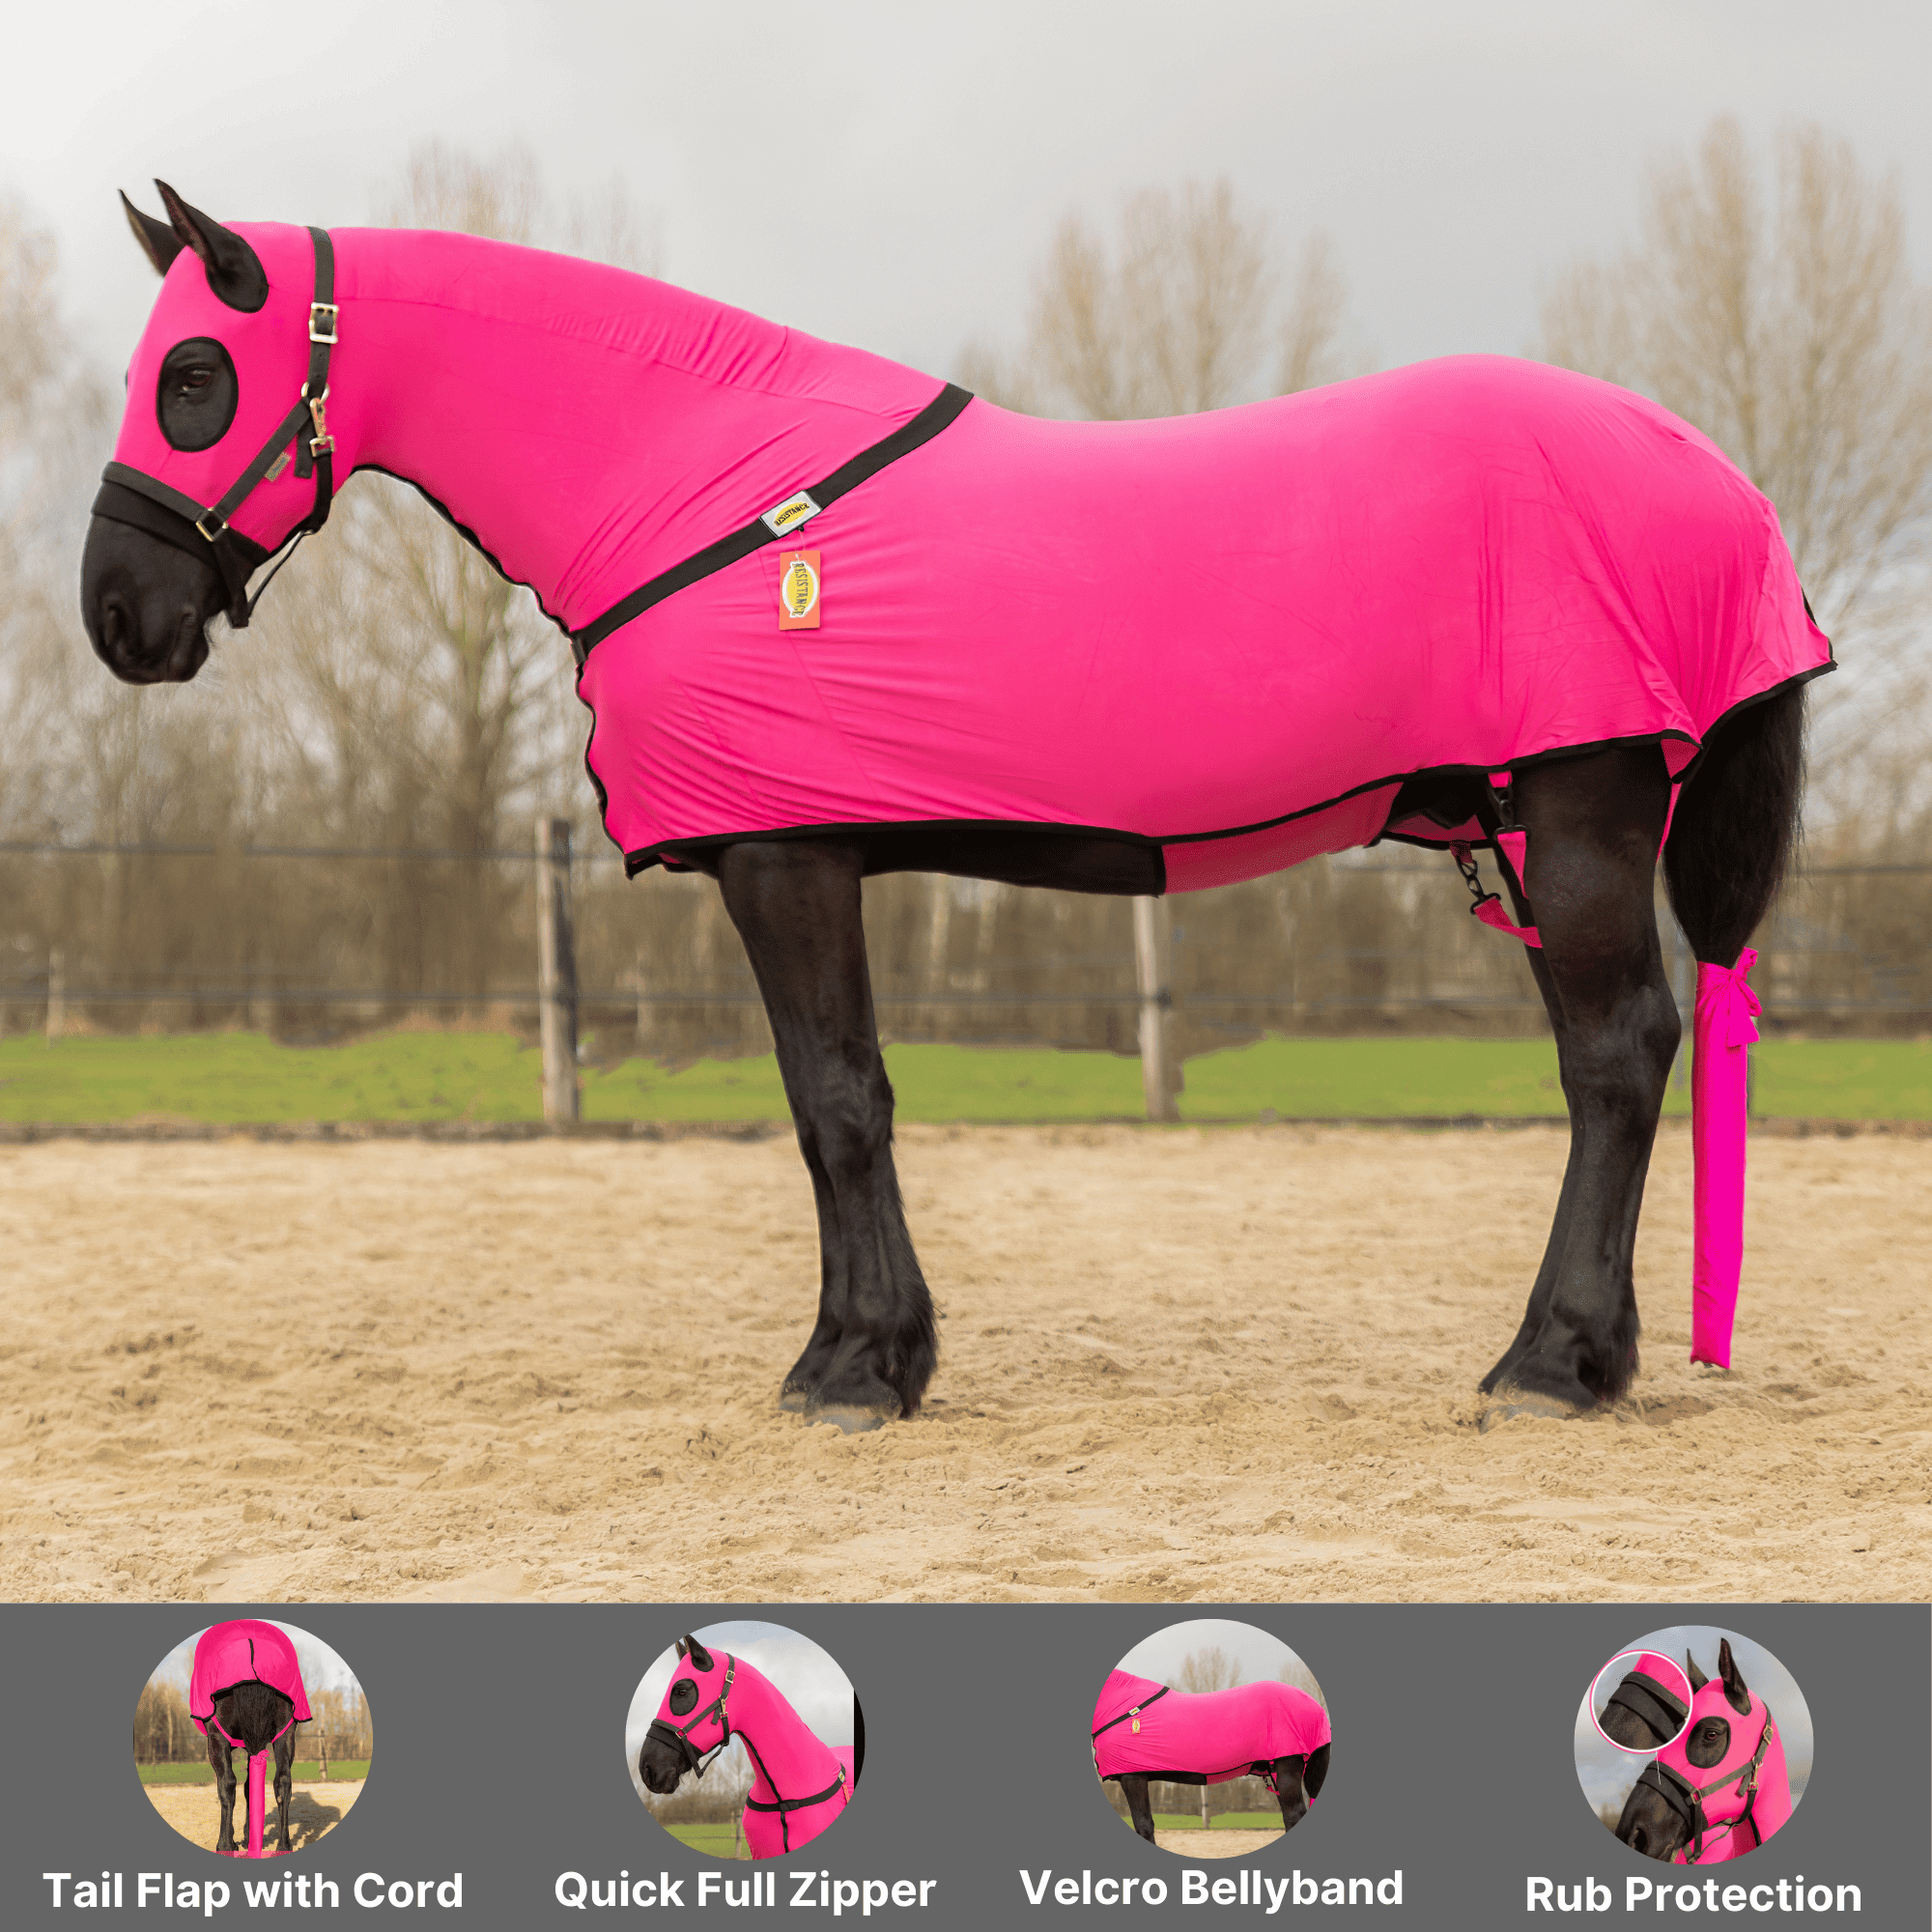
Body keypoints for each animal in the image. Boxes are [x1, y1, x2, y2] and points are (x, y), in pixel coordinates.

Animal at [81, 187, 1832, 1432]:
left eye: (194, 375)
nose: (118, 616)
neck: (709, 480)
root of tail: (1709, 471)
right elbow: (842, 1102)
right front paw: (877, 1355)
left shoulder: (783, 855)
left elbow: (836, 1102)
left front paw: (853, 1369)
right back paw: (1584, 1357)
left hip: (1582, 811)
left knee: (1616, 1057)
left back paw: (1549, 1364)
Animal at [187, 1619, 310, 1858]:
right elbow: (250, 1786)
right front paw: (248, 1836)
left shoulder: (218, 1738)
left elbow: (230, 1785)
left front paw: (235, 1838)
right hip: (286, 1733)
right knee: (283, 1782)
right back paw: (283, 1846)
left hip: (217, 1737)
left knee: (226, 1783)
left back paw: (224, 1845)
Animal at [1091, 1669, 1330, 1844]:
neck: (1125, 1706)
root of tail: (1312, 1703)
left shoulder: (1132, 1777)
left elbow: (1143, 1825)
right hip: (1276, 1771)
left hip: (1288, 1768)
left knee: (1293, 1815)